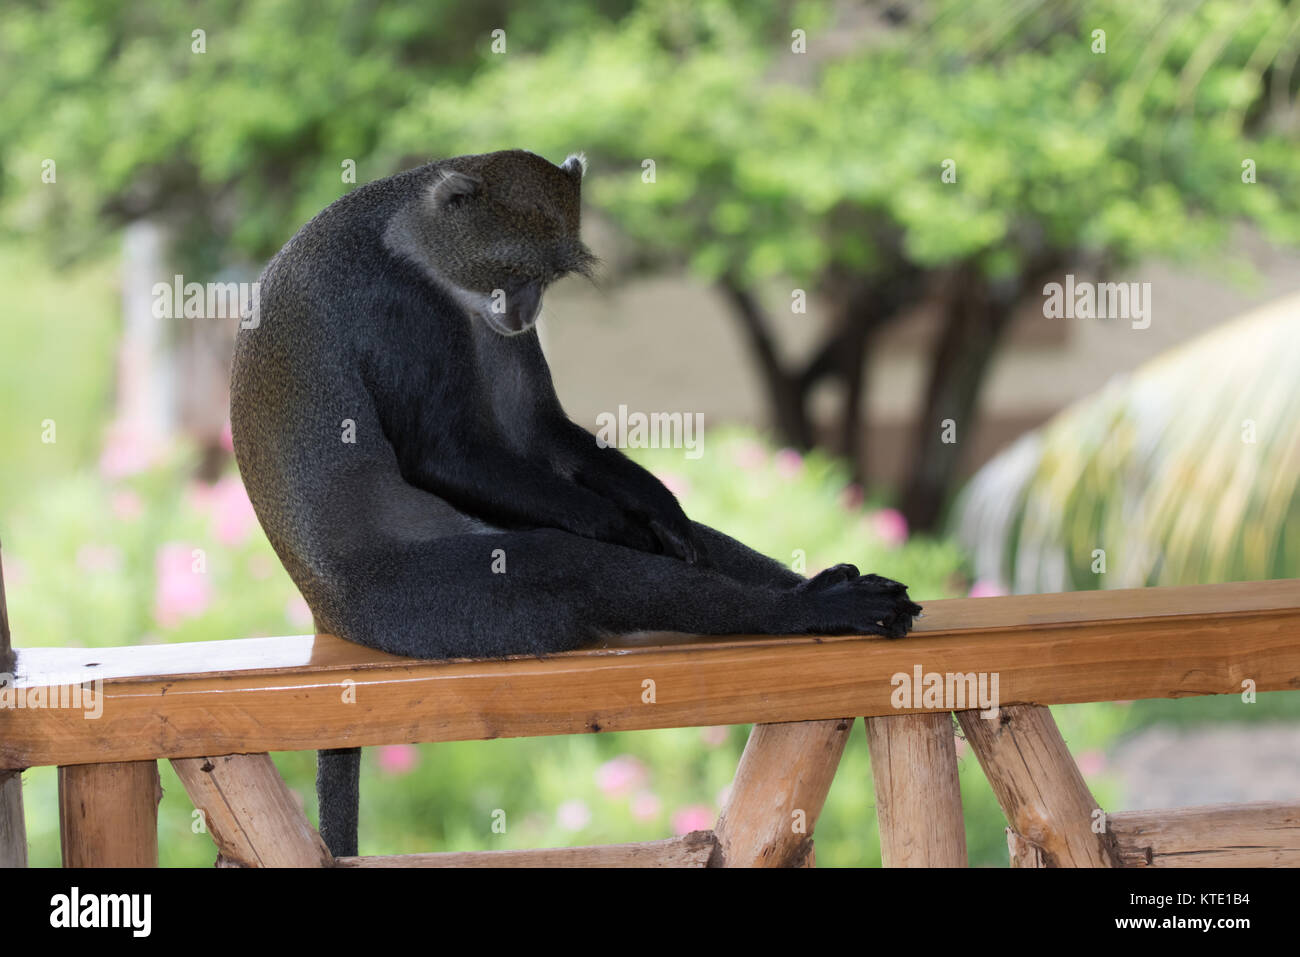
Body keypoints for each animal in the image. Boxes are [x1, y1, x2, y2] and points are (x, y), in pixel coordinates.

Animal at [229, 149, 921, 857]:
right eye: (512, 272)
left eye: (545, 277)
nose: (525, 308)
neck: (411, 234)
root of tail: (327, 615)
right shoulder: (396, 303)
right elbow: (444, 454)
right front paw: (613, 524)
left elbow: (541, 435)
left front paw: (654, 505)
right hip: (423, 603)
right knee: (573, 569)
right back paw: (807, 608)